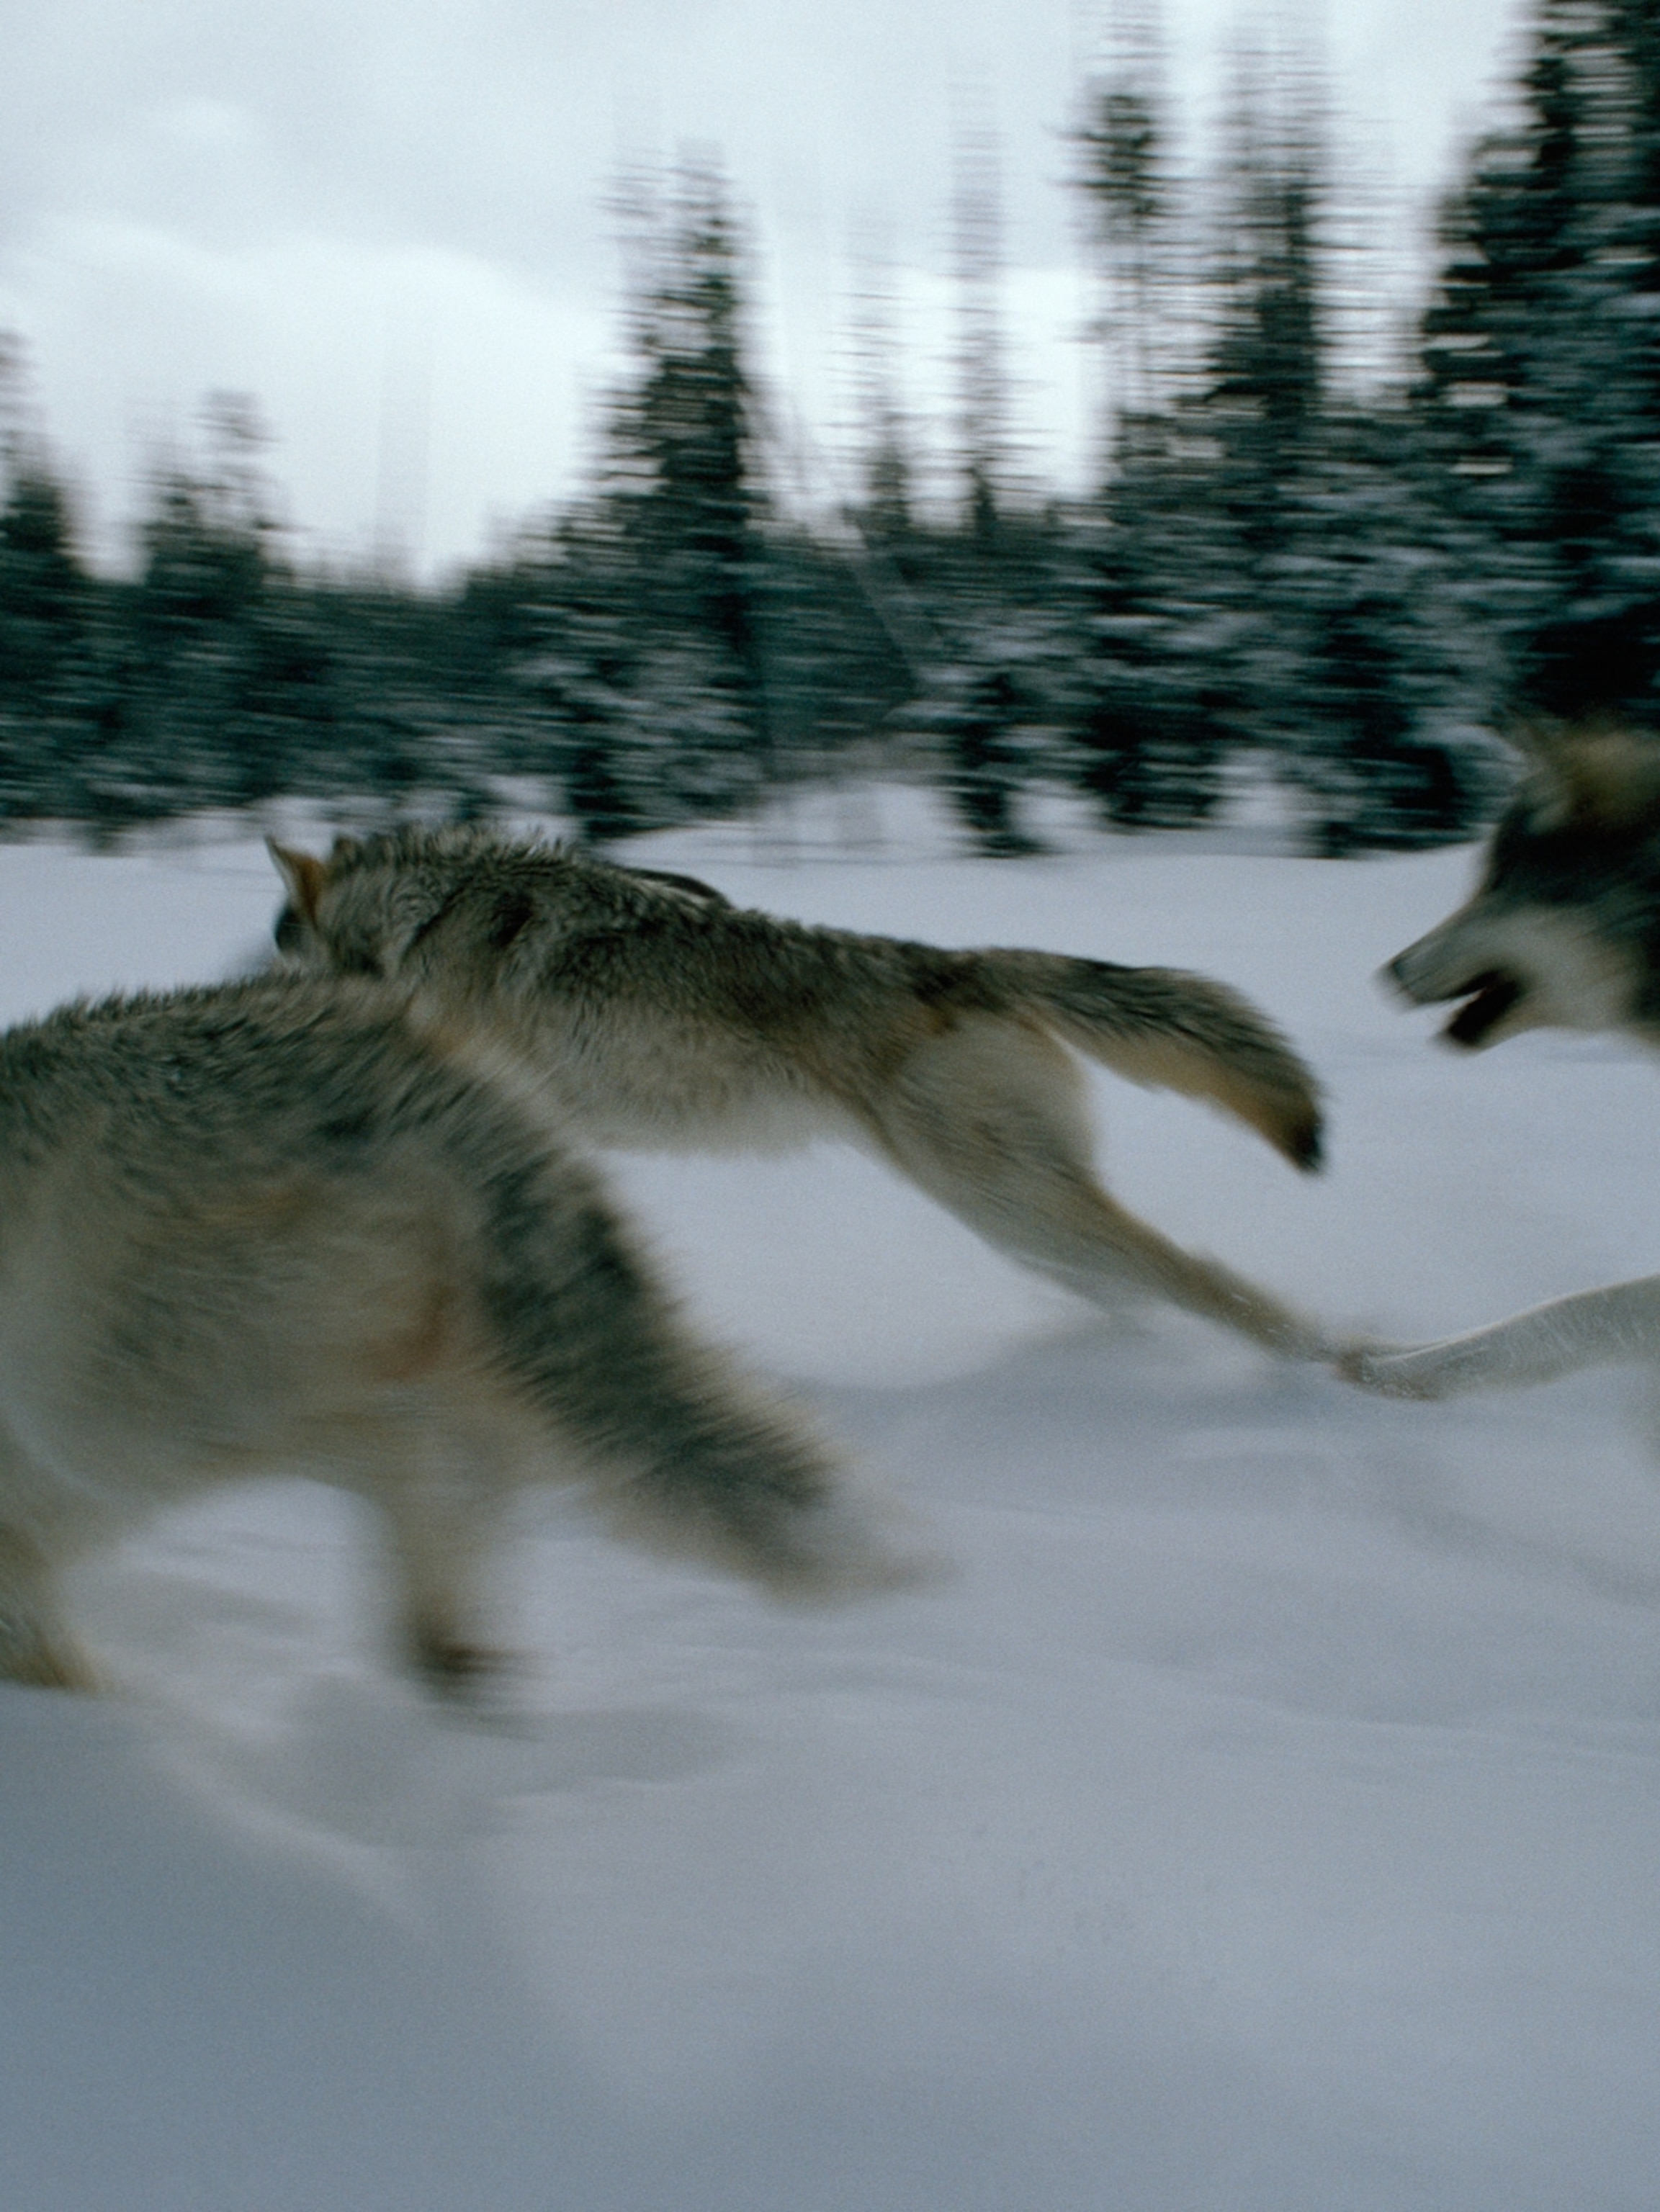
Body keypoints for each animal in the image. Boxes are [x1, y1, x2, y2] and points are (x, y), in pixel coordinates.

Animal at [266, 827, 1334, 1359]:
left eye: (275, 944)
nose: (253, 983)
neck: (422, 923)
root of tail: (969, 966)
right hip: (1027, 1228)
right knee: (1152, 1285)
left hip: (1013, 1206)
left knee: (1202, 1280)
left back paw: (1338, 1362)